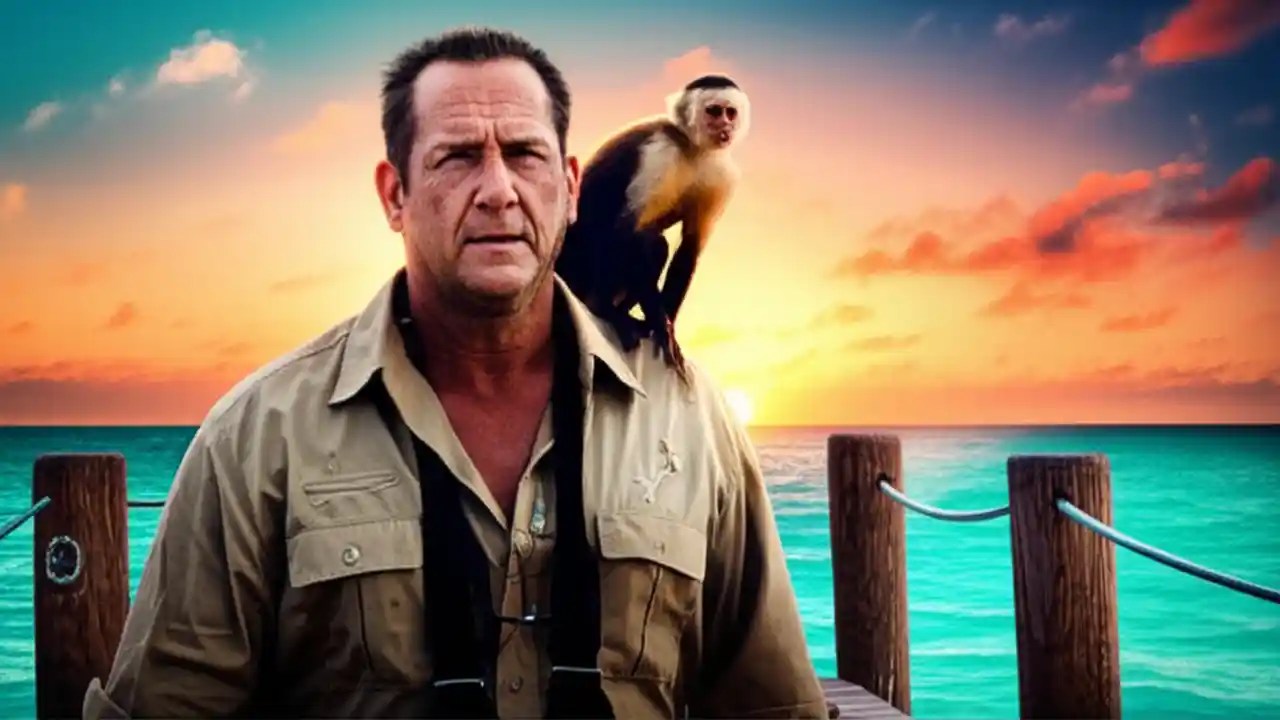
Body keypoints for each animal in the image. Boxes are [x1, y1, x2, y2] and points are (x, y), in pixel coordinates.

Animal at [556, 74, 749, 379]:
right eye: (714, 111)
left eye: (730, 112)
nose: (725, 127)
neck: (692, 147)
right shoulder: (660, 153)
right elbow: (629, 230)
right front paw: (660, 324)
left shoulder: (721, 173)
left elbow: (689, 247)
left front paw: (665, 326)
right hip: (575, 266)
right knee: (644, 241)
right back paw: (605, 309)